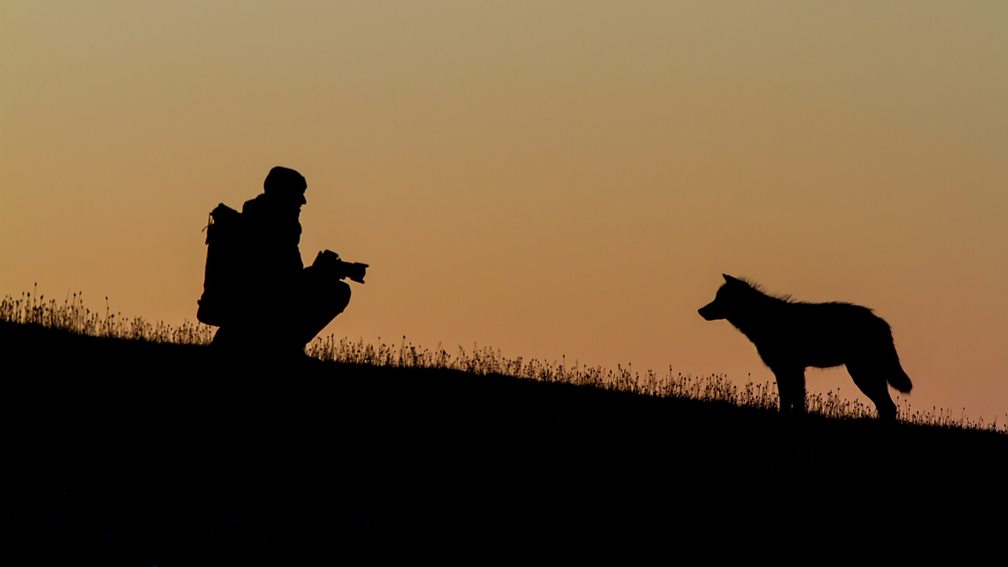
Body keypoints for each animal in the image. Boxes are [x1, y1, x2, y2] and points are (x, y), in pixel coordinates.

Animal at [698, 274, 912, 420]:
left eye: (720, 298)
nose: (700, 311)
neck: (763, 318)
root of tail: (882, 323)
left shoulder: (789, 369)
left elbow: (793, 401)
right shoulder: (788, 370)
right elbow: (791, 401)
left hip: (862, 375)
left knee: (888, 407)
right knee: (887, 407)